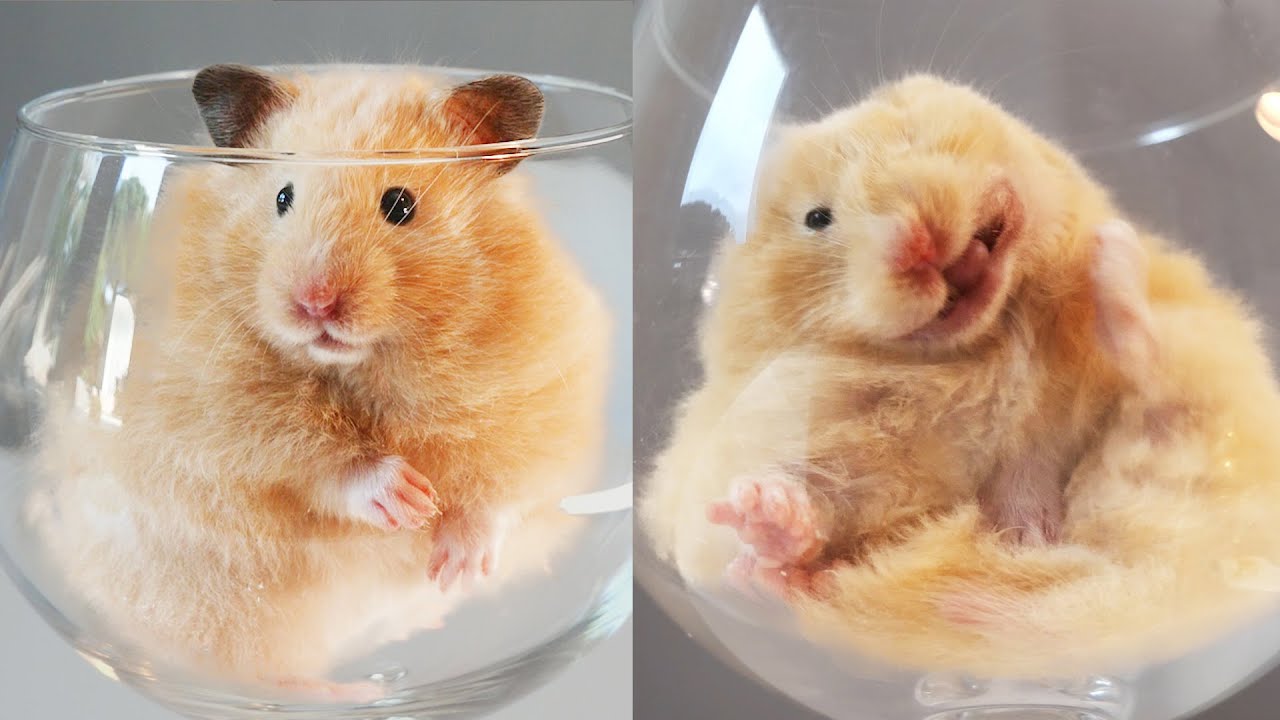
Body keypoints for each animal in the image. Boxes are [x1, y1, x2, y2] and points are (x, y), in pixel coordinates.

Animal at [27, 64, 610, 693]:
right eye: (283, 198)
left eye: (400, 204)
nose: (315, 303)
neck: (362, 368)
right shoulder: (214, 424)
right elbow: (320, 469)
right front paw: (409, 499)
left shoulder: (544, 395)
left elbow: (505, 490)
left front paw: (456, 566)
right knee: (261, 673)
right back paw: (346, 689)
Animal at [640, 74, 1268, 601]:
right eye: (817, 218)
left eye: (910, 139)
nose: (916, 243)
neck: (985, 341)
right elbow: (806, 501)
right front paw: (762, 516)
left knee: (1155, 371)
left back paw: (1109, 252)